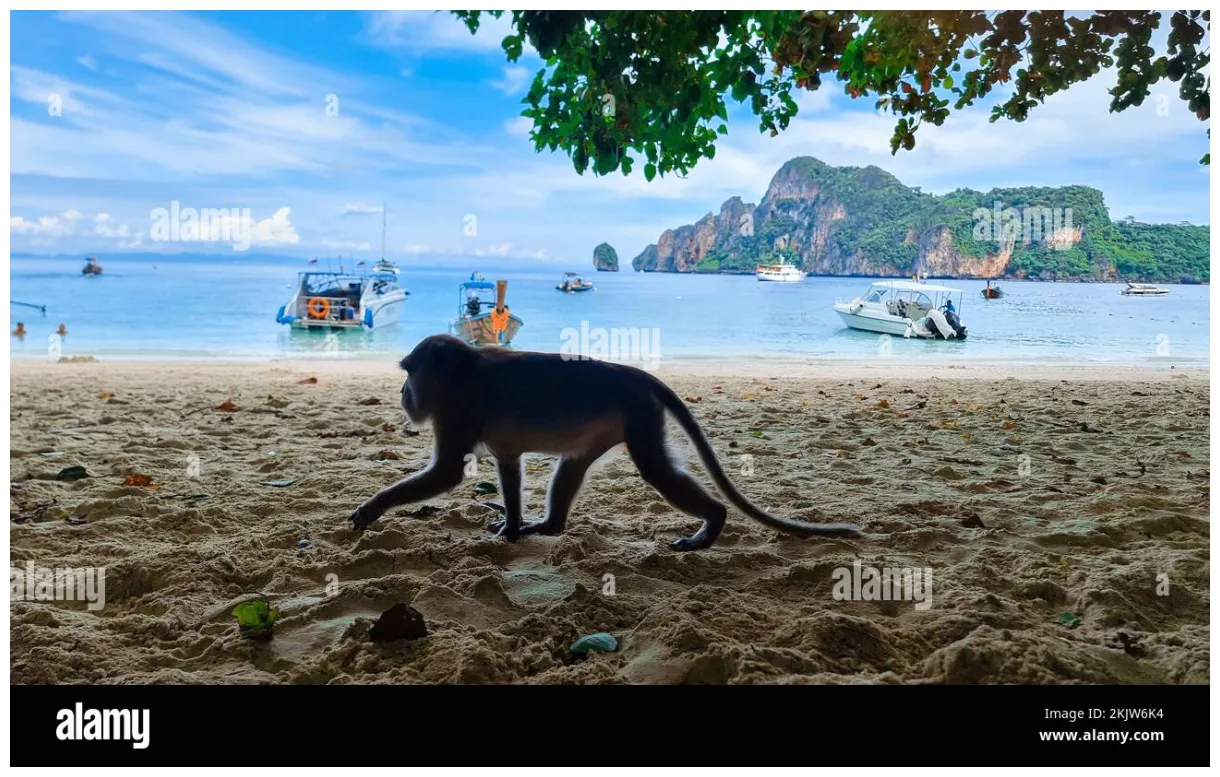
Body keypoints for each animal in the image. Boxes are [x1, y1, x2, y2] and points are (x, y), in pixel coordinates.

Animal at [348, 334, 860, 551]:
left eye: (409, 372)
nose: (403, 394)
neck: (464, 371)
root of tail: (638, 375)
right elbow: (509, 465)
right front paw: (511, 527)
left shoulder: (456, 411)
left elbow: (448, 473)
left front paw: (372, 508)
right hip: (607, 427)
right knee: (573, 464)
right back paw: (548, 526)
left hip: (638, 415)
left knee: (656, 470)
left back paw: (713, 522)